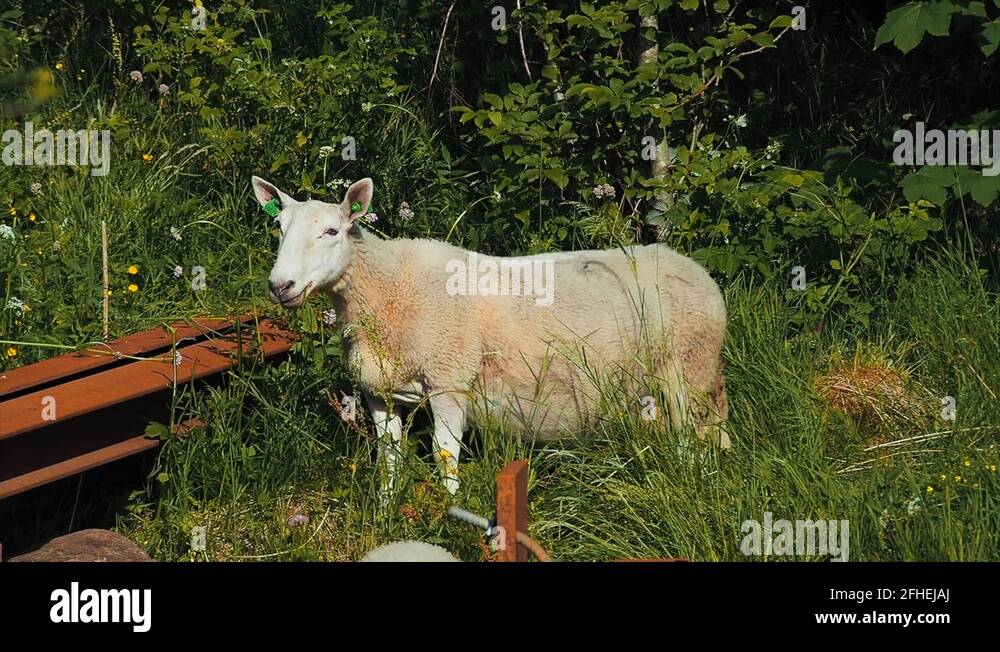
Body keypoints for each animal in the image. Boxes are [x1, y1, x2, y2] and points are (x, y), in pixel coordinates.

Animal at [254, 176, 729, 495]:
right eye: (279, 230)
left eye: (332, 231)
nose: (280, 286)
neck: (387, 288)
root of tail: (693, 268)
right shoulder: (378, 390)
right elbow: (390, 455)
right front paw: (387, 508)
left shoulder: (449, 379)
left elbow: (445, 455)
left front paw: (447, 512)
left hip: (689, 369)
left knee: (699, 433)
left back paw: (700, 480)